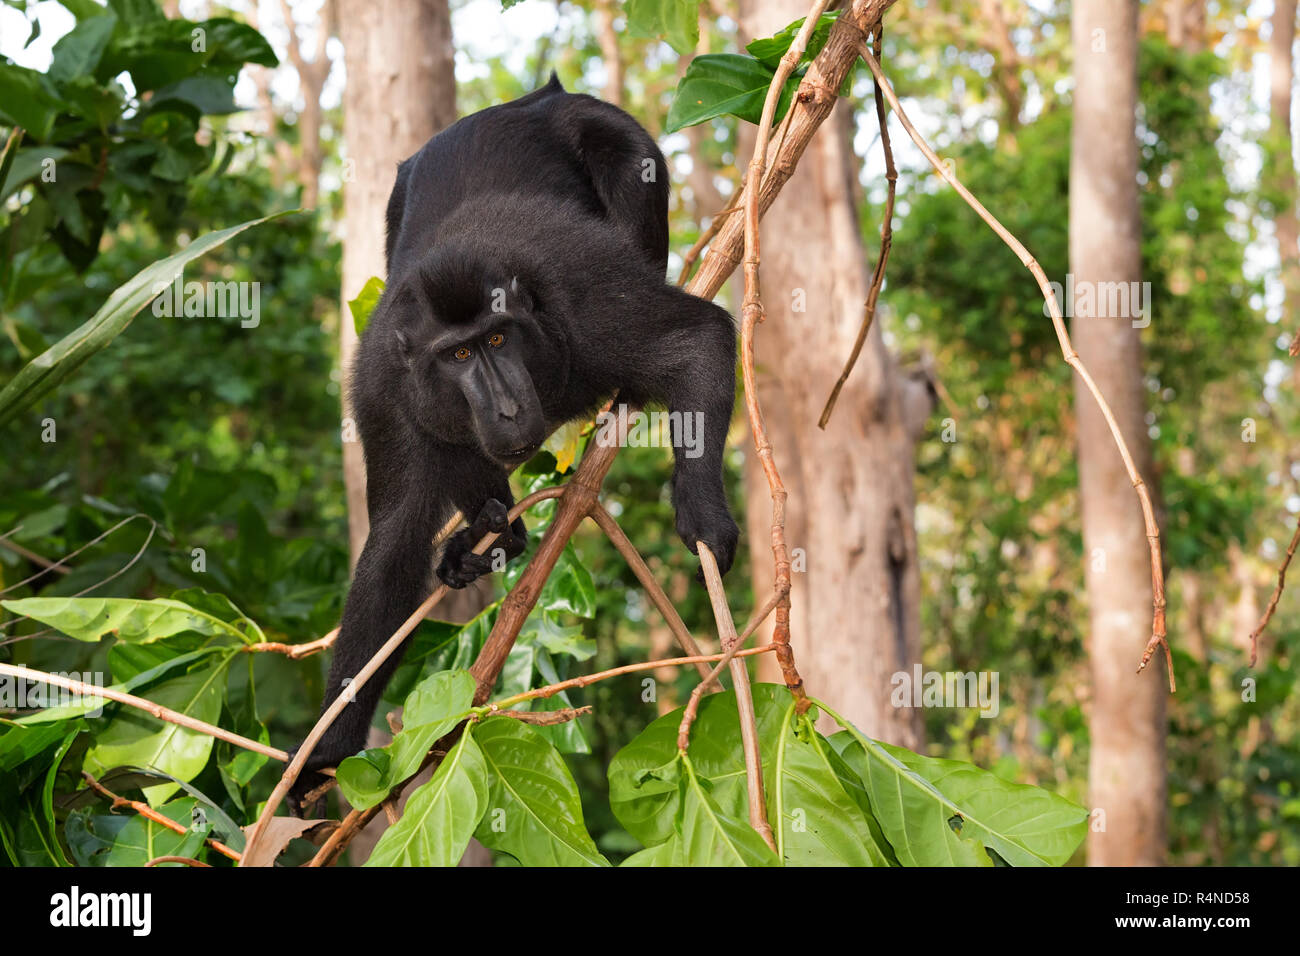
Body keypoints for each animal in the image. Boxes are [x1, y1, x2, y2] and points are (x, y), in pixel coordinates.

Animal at [289, 75, 739, 813]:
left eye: (499, 338)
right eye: (458, 355)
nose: (504, 403)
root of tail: (530, 99)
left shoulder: (585, 299)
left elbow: (695, 342)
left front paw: (702, 511)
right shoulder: (385, 389)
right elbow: (392, 546)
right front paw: (326, 750)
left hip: (606, 130)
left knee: (626, 162)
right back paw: (487, 531)